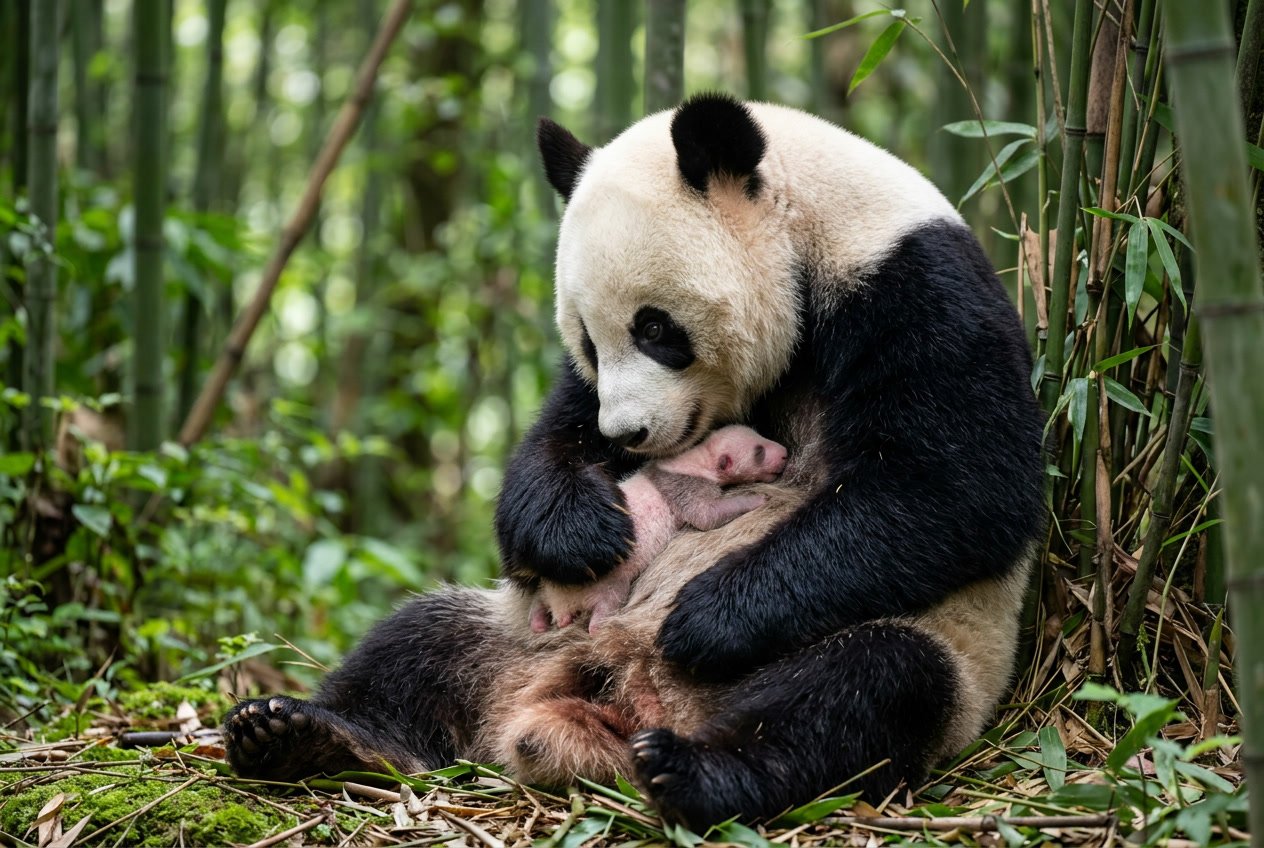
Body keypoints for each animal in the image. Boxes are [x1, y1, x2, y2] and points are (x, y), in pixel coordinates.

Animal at [223, 93, 1045, 830]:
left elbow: (958, 487)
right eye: (587, 340)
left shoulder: (916, 290)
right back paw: (305, 734)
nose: (629, 433)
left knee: (863, 690)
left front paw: (706, 618)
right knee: (414, 641)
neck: (812, 226)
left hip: (939, 655)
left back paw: (694, 770)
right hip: (517, 626)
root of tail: (604, 701)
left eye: (656, 329)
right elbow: (551, 442)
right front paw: (582, 529)